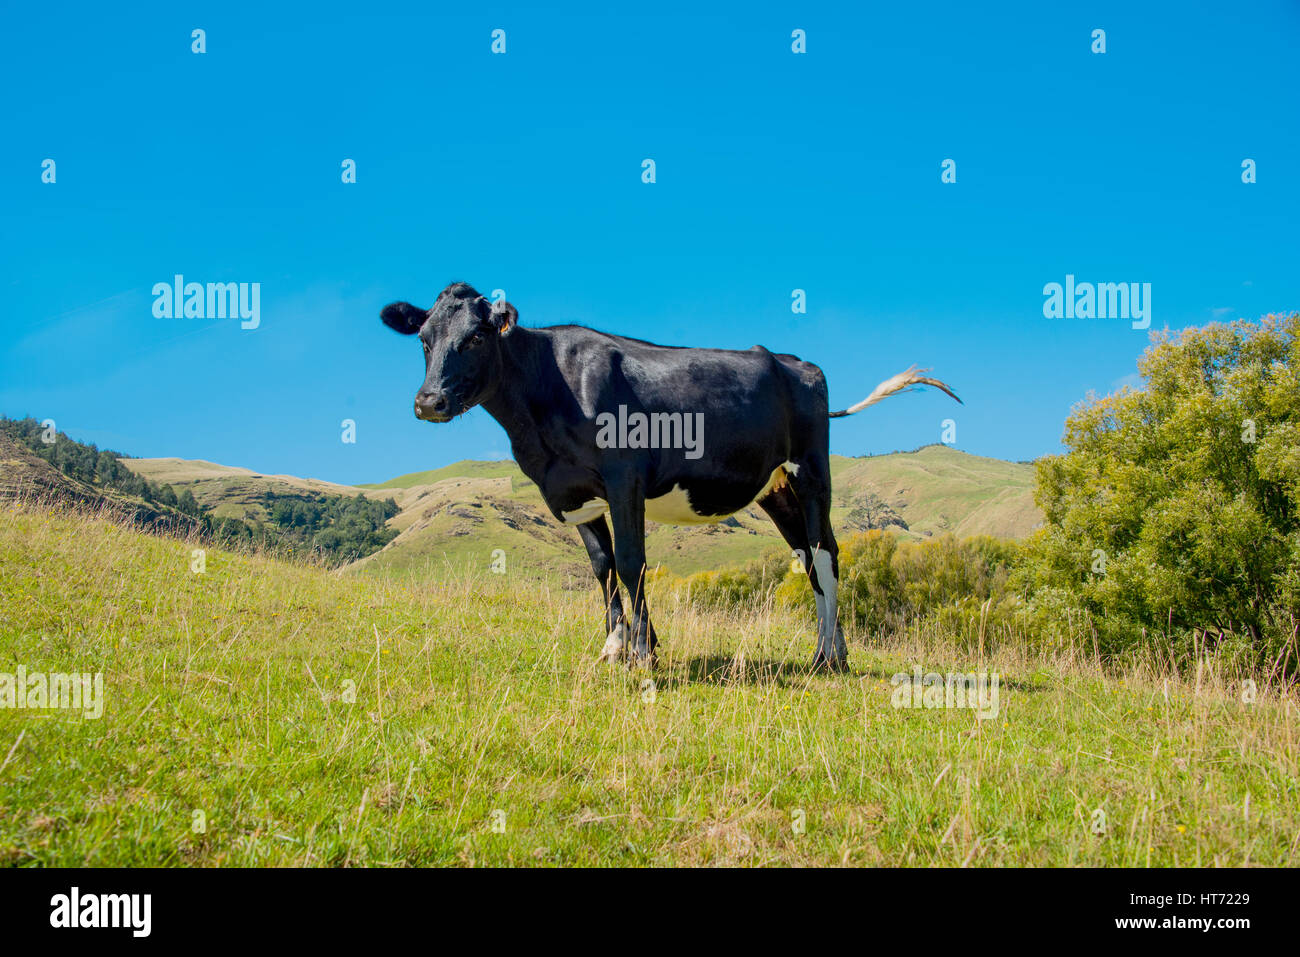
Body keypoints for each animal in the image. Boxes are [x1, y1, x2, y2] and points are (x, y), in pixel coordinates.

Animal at [380, 282, 960, 670]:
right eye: (424, 338)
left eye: (477, 337)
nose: (428, 401)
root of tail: (798, 363)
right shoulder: (572, 492)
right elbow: (602, 566)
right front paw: (616, 646)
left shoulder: (624, 479)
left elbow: (632, 563)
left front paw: (642, 654)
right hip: (775, 488)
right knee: (812, 555)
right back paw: (833, 651)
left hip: (811, 470)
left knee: (823, 553)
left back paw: (826, 658)